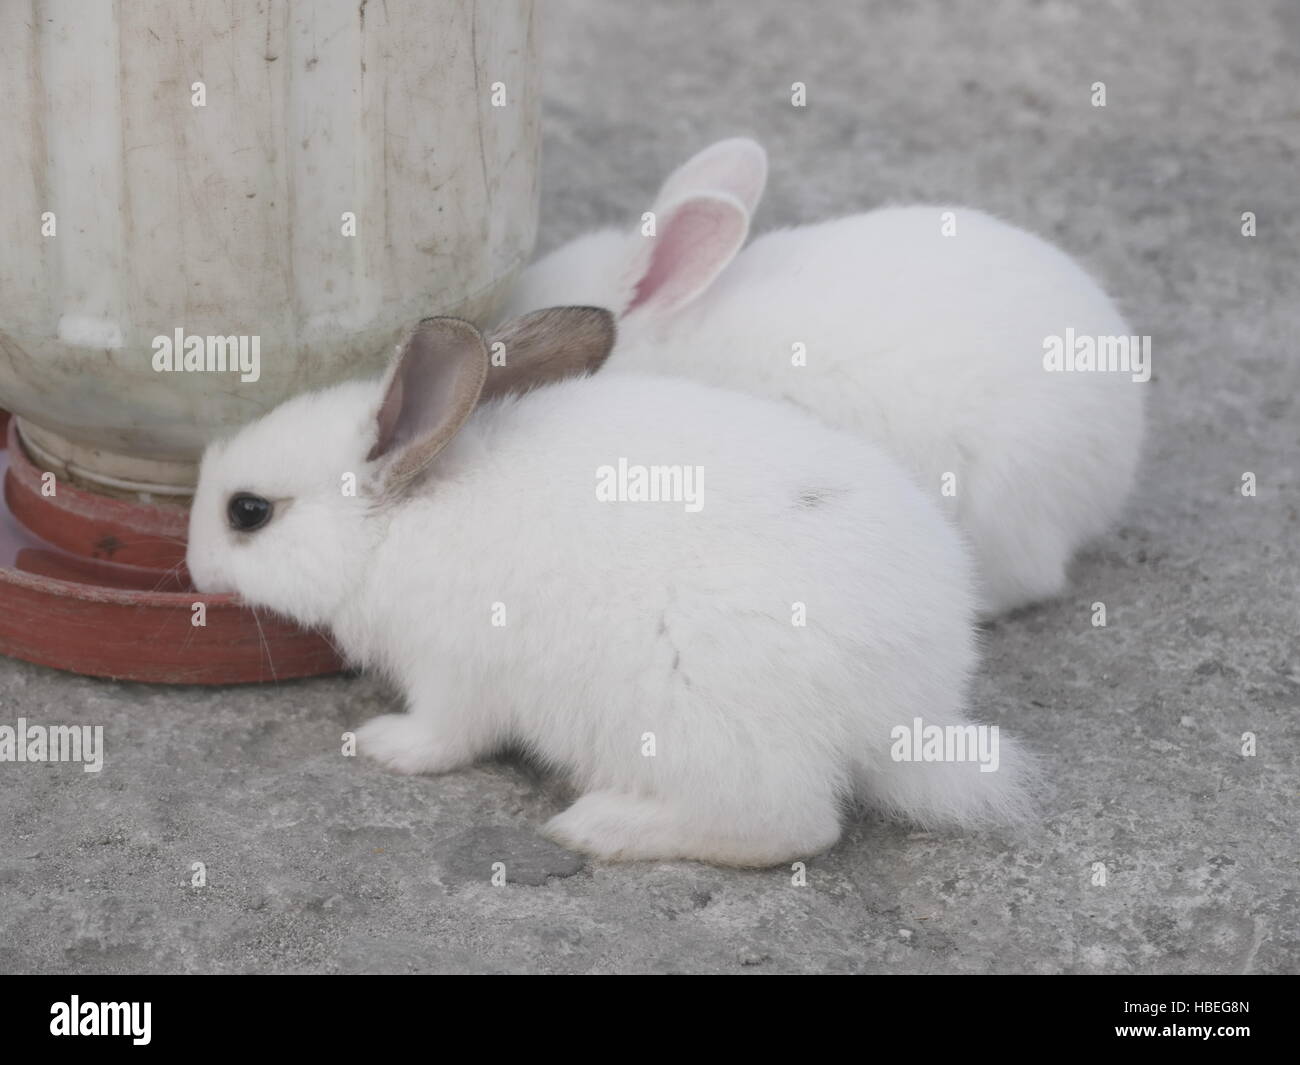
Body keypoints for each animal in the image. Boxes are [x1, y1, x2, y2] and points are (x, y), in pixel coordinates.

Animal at [186, 306, 1034, 867]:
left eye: (248, 512)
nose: (192, 564)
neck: (397, 524)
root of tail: (904, 710)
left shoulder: (456, 673)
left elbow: (445, 736)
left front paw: (383, 746)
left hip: (694, 719)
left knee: (789, 825)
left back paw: (597, 826)